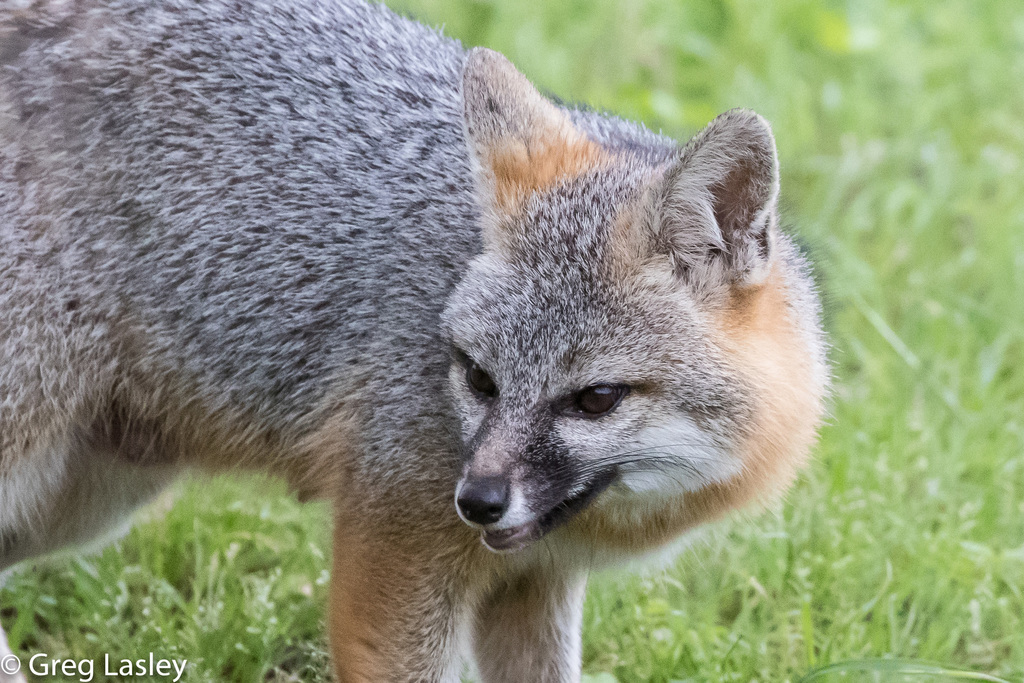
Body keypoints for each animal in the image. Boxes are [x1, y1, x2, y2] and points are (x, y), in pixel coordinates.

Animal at [0, 0, 829, 680]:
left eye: (596, 398)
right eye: (480, 378)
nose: (477, 501)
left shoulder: (535, 582)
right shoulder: (395, 550)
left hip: (86, 497)